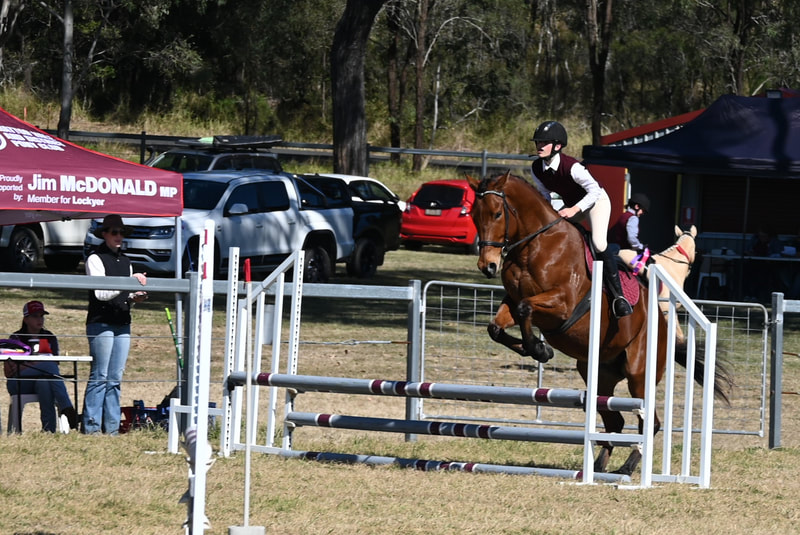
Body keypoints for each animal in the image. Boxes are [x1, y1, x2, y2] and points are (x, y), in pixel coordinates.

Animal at [466, 171, 731, 475]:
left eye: (497, 214)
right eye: (474, 216)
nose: (487, 266)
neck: (535, 246)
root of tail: (663, 331)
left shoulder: (563, 304)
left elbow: (525, 310)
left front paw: (539, 349)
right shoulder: (513, 301)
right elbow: (497, 327)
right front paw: (538, 349)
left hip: (639, 374)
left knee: (649, 422)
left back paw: (626, 468)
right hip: (598, 374)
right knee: (615, 421)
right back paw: (598, 466)